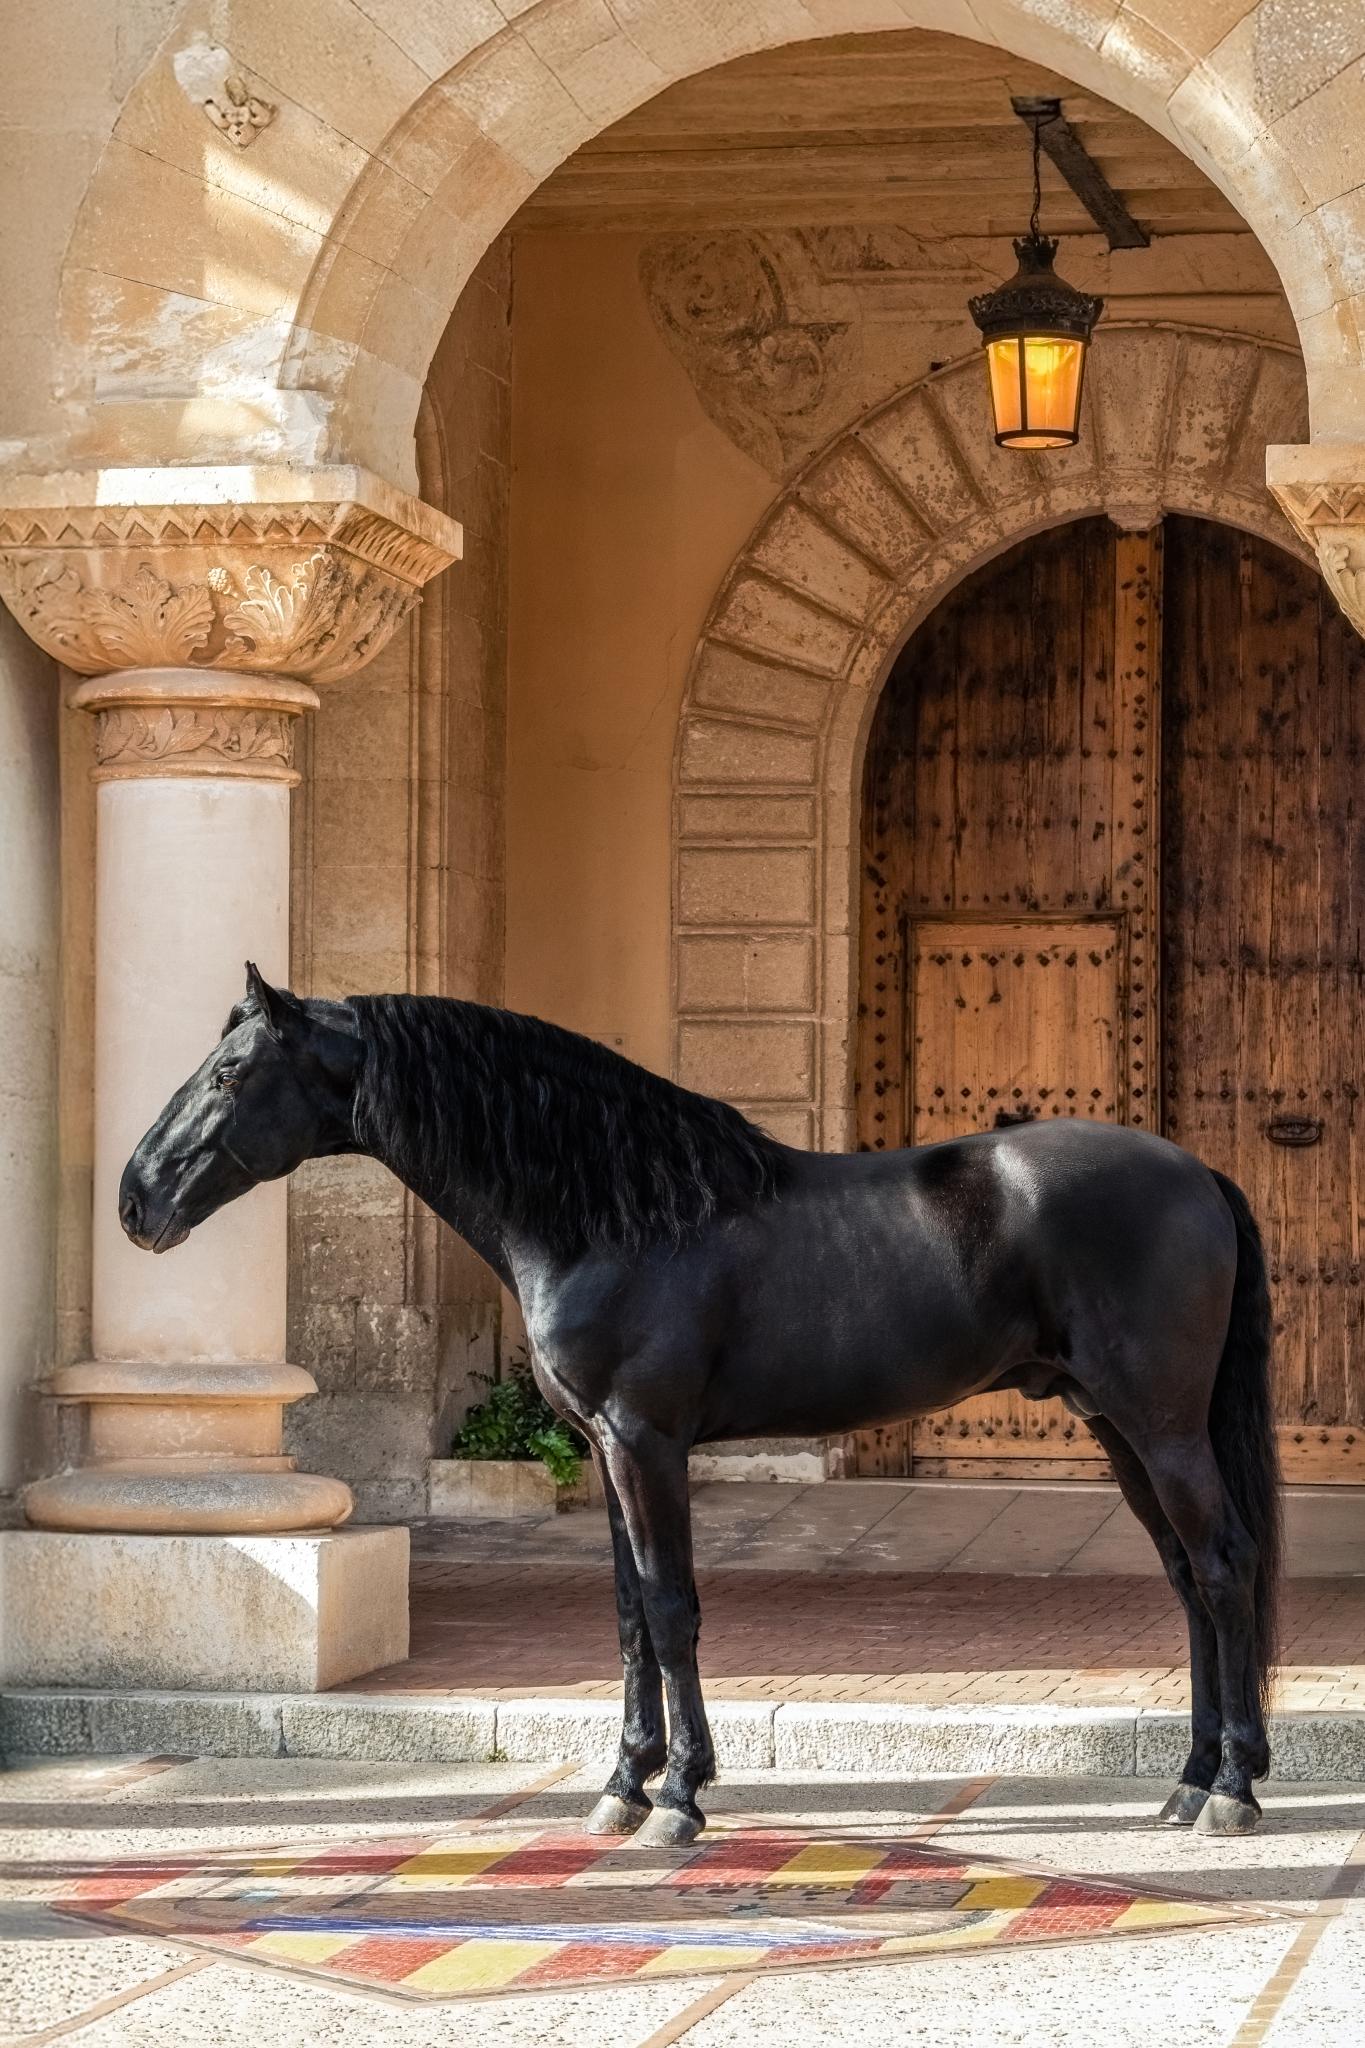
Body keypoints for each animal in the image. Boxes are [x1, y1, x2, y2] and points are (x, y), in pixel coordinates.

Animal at [119, 963, 1282, 1844]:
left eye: (230, 1070)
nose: (136, 1200)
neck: (612, 1212)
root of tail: (1199, 1173)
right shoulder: (602, 1448)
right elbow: (630, 1616)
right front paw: (622, 1787)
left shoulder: (647, 1442)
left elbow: (672, 1607)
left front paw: (678, 1796)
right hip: (1117, 1427)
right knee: (1188, 1580)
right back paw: (1187, 1780)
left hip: (1161, 1426)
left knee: (1223, 1567)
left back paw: (1229, 1789)